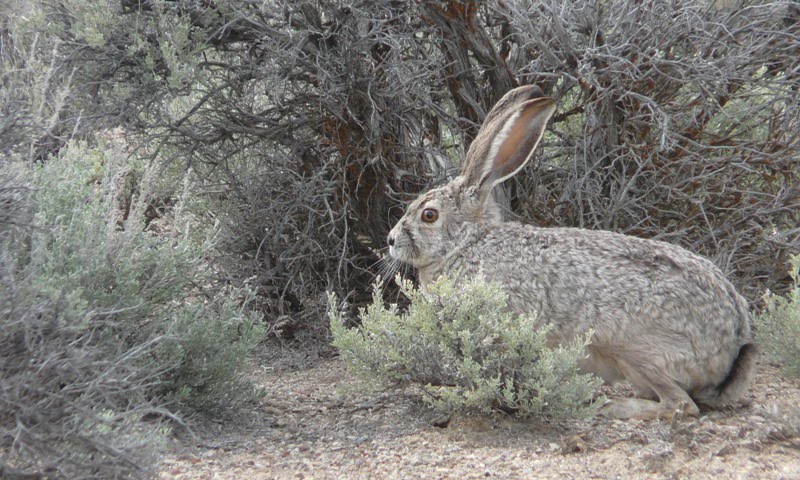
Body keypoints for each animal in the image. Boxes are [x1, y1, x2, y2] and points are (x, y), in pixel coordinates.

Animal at [387, 85, 756, 419]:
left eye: (429, 215)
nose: (391, 240)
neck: (466, 243)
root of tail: (733, 341)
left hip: (637, 350)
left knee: (680, 405)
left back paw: (611, 406)